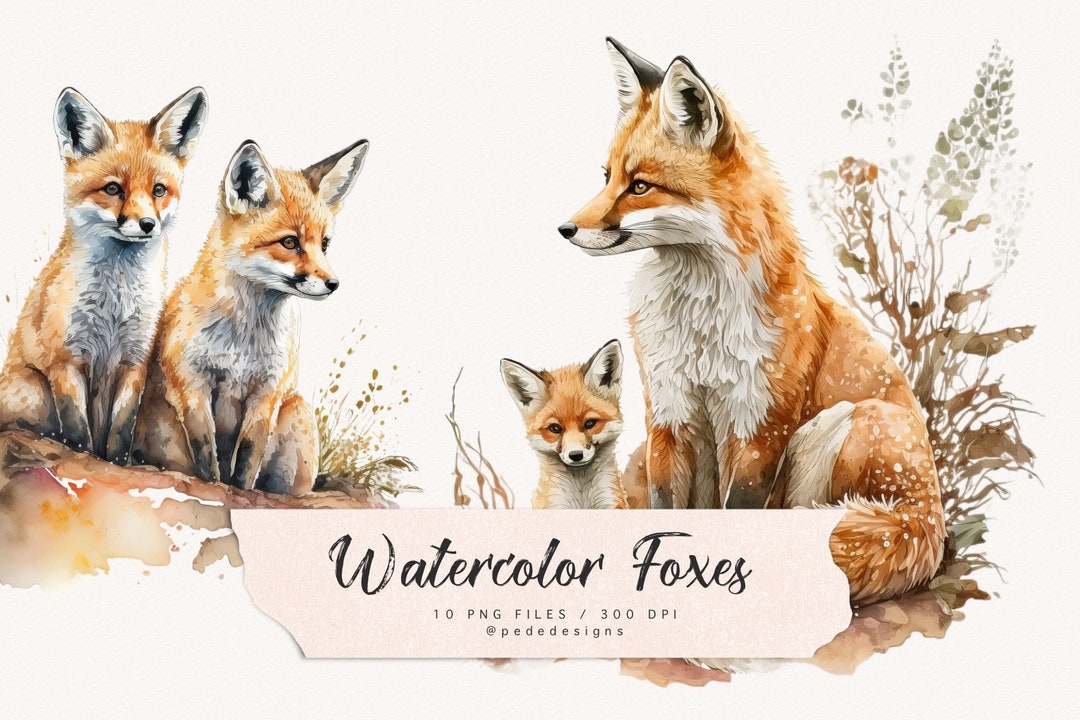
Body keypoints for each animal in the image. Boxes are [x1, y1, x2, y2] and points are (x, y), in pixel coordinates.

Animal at [0, 87, 208, 463]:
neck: (116, 303)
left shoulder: (134, 361)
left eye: (158, 190)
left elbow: (120, 430)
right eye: (113, 189)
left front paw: (116, 461)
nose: (147, 224)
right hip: (34, 389)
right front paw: (81, 456)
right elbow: (77, 430)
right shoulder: (66, 361)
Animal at [131, 138, 369, 494]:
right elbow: (208, 461)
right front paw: (216, 488)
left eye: (324, 244)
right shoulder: (192, 386)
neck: (243, 341)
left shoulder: (266, 394)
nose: (333, 284)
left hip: (296, 414)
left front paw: (240, 493)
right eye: (290, 242)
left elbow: (246, 462)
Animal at [557, 38, 945, 604]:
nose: (564, 229)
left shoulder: (760, 424)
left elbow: (736, 517)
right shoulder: (670, 414)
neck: (699, 320)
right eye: (607, 178)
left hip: (850, 421)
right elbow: (665, 510)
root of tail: (931, 516)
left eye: (641, 186)